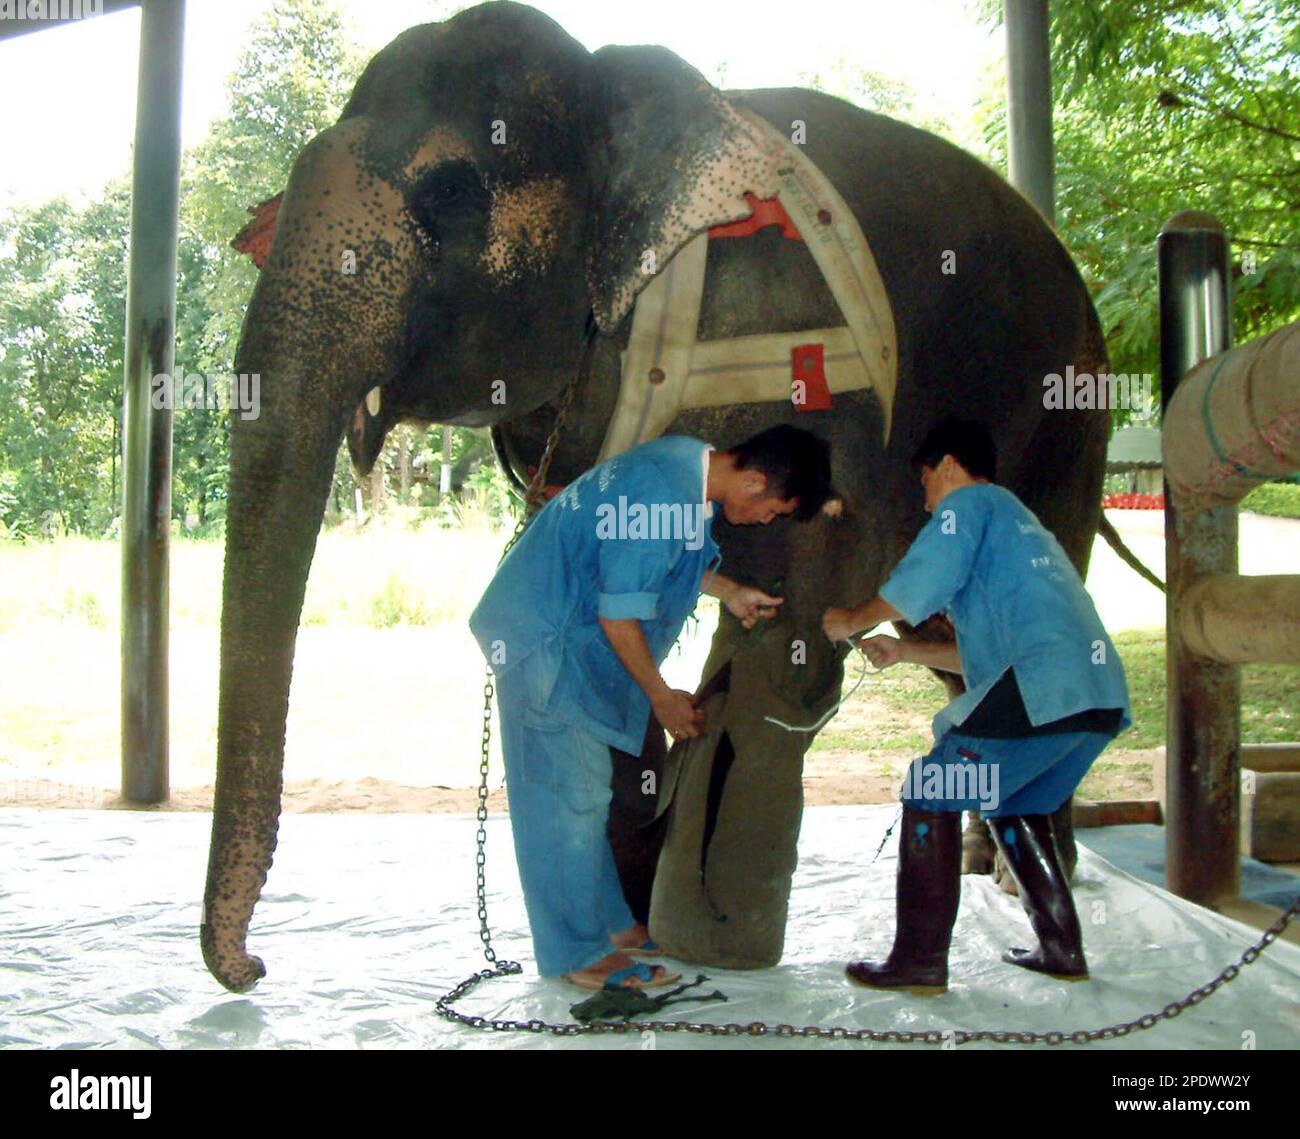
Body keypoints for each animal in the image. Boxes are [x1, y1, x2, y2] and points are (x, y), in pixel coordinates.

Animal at [202, 0, 1113, 991]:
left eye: (447, 196)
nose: (253, 967)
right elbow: (604, 618)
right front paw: (631, 921)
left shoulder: (804, 368)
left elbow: (782, 655)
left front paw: (713, 940)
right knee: (958, 651)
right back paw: (997, 867)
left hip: (1070, 417)